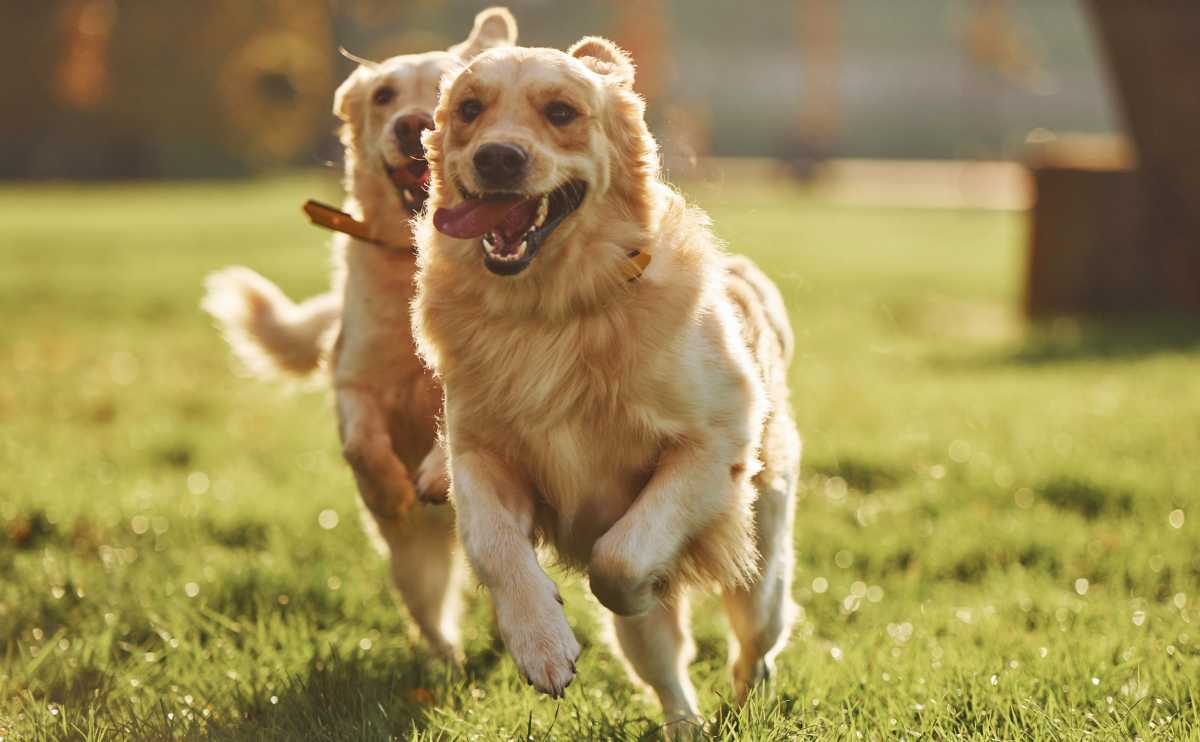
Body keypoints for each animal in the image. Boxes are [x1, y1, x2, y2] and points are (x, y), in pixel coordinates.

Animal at [200, 10, 516, 657]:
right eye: (383, 96)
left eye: (449, 89)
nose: (411, 124)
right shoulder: (354, 379)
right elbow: (361, 443)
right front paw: (392, 489)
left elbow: (449, 427)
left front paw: (433, 473)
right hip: (414, 563)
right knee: (433, 614)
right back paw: (448, 660)